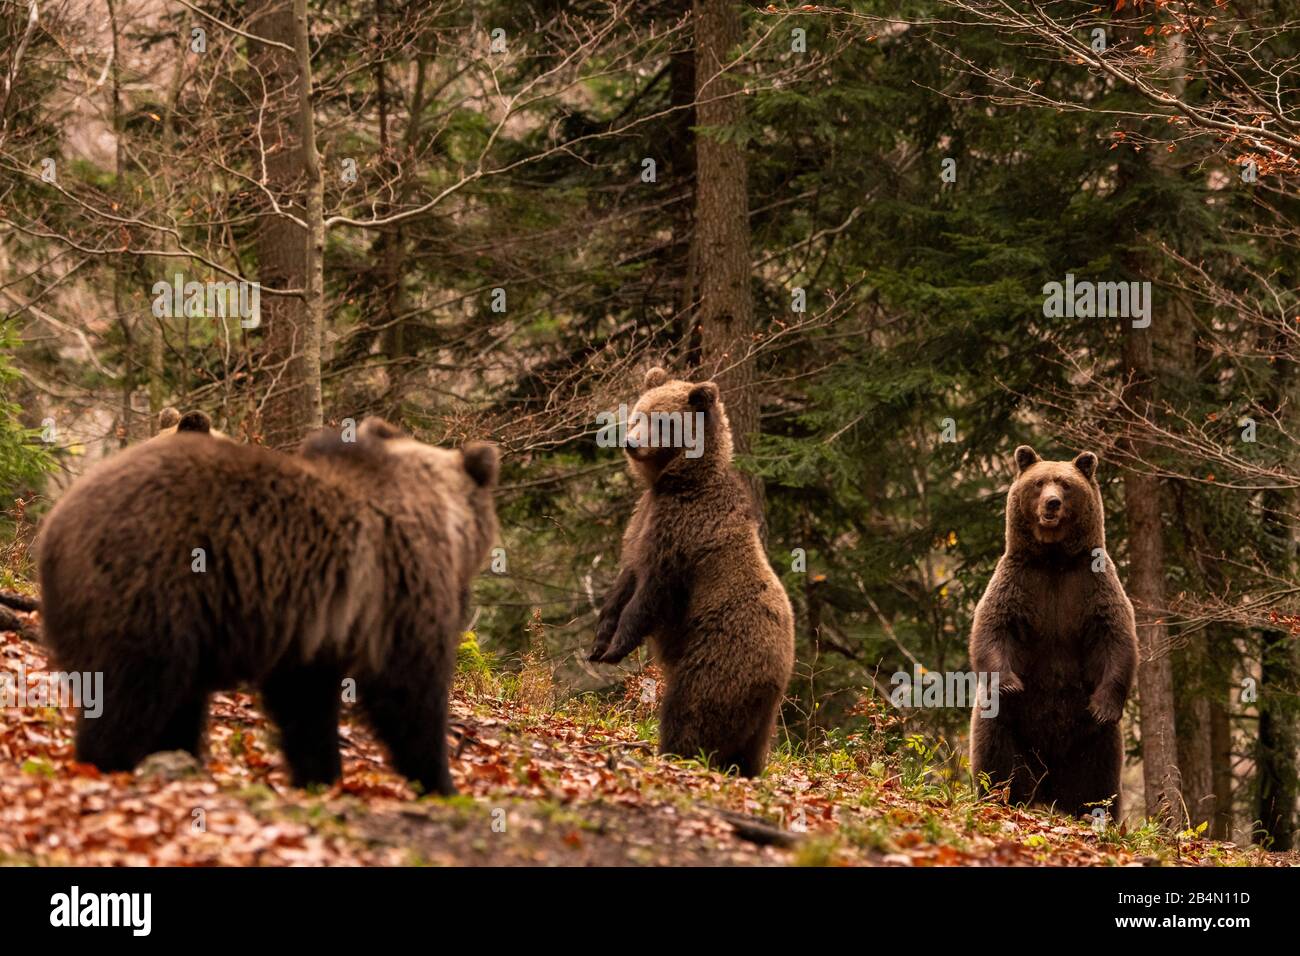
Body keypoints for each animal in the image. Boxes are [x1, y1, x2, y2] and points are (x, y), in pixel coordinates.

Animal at [37, 417, 498, 795]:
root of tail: (54, 530)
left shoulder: (314, 630)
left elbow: (305, 704)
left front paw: (319, 775)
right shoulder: (401, 593)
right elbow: (409, 692)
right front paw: (440, 783)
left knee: (176, 702)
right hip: (152, 592)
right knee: (133, 693)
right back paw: (108, 762)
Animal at [588, 367, 795, 777]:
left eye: (661, 421)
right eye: (638, 414)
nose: (630, 442)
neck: (674, 482)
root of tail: (783, 673)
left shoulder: (683, 536)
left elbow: (649, 595)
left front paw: (617, 647)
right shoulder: (642, 522)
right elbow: (624, 581)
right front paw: (599, 643)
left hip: (722, 653)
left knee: (691, 707)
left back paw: (672, 752)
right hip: (761, 714)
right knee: (750, 743)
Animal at [969, 445, 1138, 819]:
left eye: (1066, 484)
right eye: (1039, 483)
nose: (1052, 503)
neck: (1054, 559)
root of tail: (1048, 786)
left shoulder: (1092, 585)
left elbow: (1116, 637)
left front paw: (1104, 706)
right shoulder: (1019, 582)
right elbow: (993, 628)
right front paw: (1009, 684)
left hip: (1091, 741)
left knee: (1098, 776)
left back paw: (1096, 812)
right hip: (1014, 730)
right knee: (998, 754)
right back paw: (1000, 796)